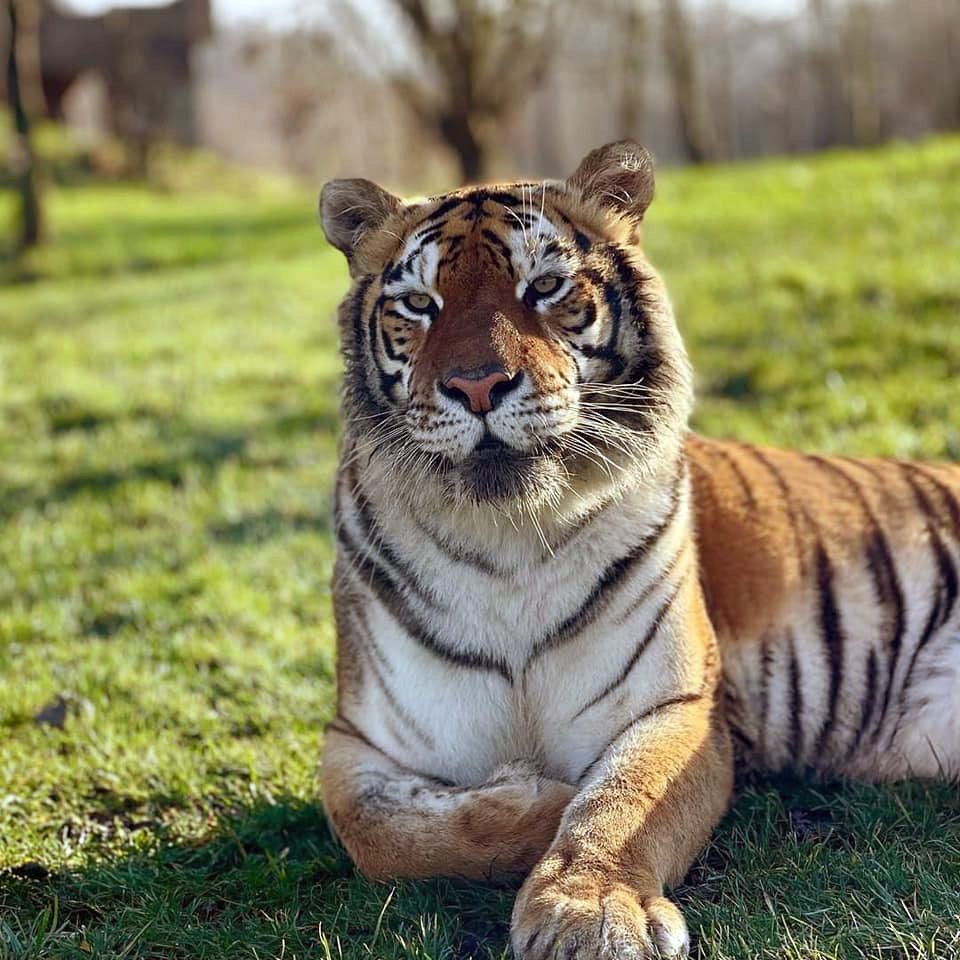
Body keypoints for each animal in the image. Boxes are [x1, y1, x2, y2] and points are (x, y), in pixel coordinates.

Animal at [318, 140, 960, 959]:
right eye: (420, 304)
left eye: (544, 287)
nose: (479, 385)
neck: (508, 544)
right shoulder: (356, 742)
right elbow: (383, 835)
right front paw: (540, 797)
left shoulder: (674, 703)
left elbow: (623, 801)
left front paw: (587, 911)